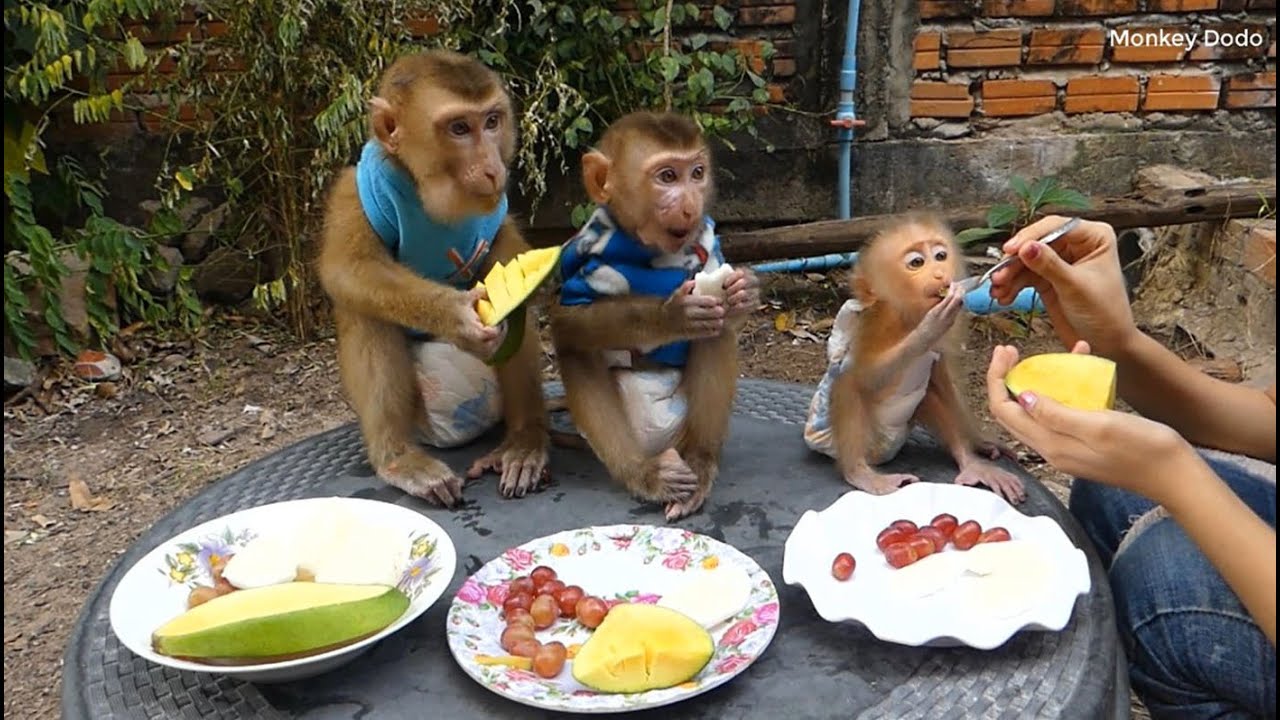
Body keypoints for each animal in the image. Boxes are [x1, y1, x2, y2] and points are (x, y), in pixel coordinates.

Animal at [316, 50, 549, 507]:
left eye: (492, 121)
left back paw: (526, 440)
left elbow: (510, 269)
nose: (492, 168)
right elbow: (350, 269)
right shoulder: (356, 189)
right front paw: (456, 316)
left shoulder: (495, 206)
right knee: (365, 311)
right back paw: (397, 457)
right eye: (459, 129)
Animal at [548, 111, 760, 522]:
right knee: (576, 348)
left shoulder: (706, 240)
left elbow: (726, 314)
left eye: (697, 173)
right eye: (667, 177)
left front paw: (746, 291)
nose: (692, 205)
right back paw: (642, 473)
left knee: (717, 330)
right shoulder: (583, 253)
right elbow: (567, 320)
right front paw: (671, 316)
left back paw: (700, 461)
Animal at [803, 215, 1026, 504]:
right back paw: (861, 474)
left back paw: (971, 463)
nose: (940, 274)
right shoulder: (880, 322)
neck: (909, 317)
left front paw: (979, 440)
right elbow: (865, 377)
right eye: (917, 262)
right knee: (847, 382)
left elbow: (942, 381)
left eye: (941, 256)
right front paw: (927, 330)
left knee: (929, 392)